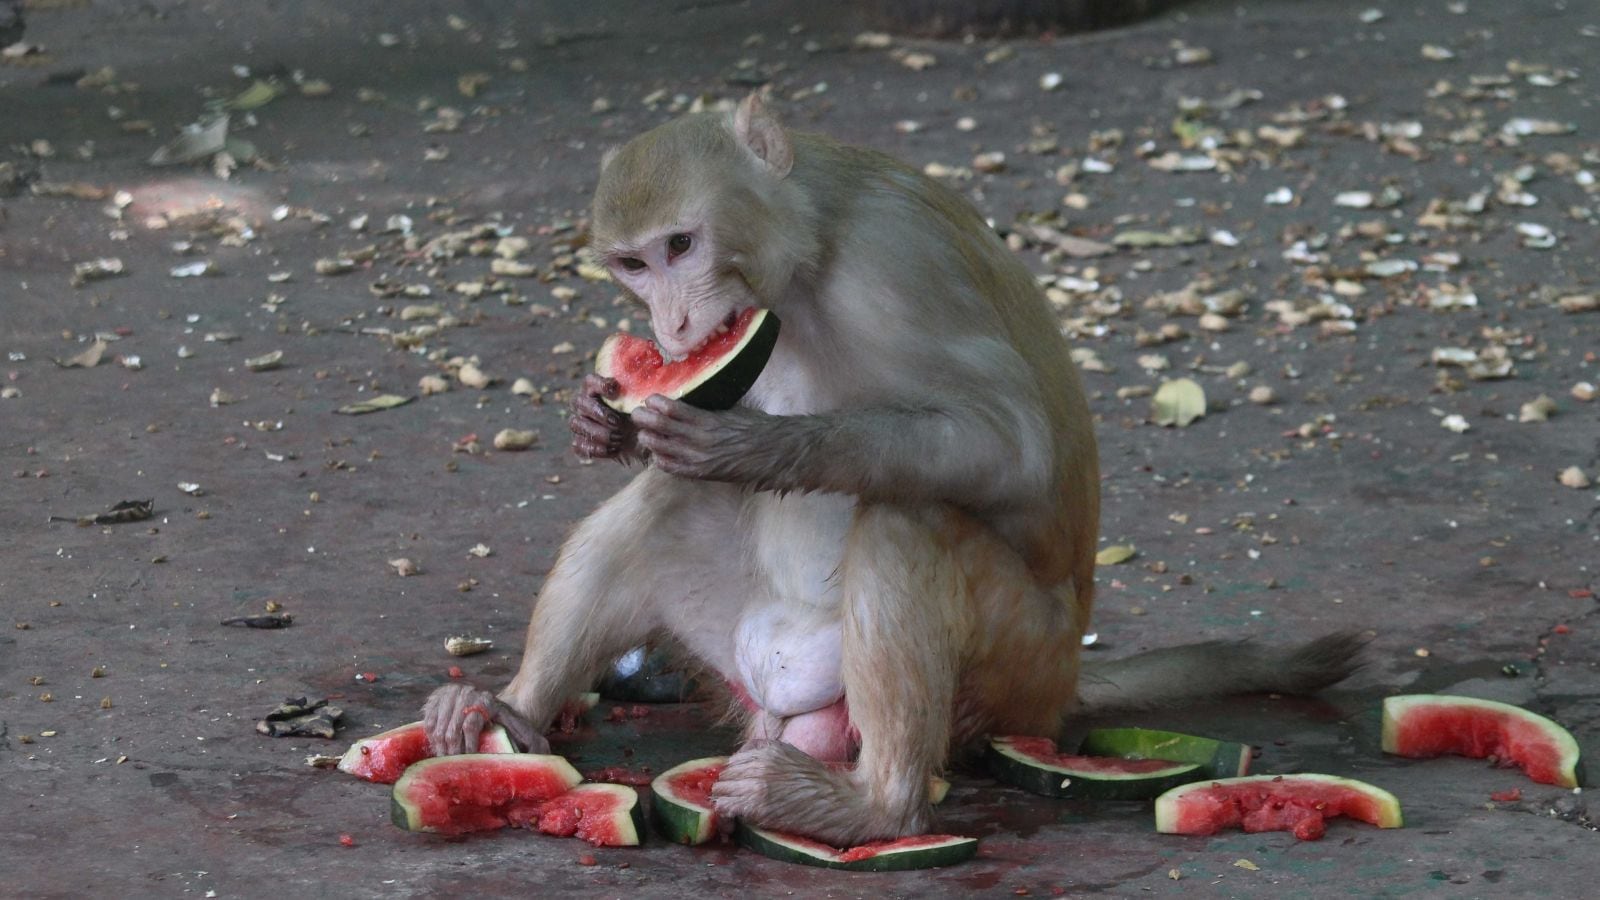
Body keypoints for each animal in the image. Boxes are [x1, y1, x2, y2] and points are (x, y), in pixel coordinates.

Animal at [422, 94, 1363, 846]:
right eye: (632, 264)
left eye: (681, 245)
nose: (674, 328)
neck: (803, 257)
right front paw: (598, 418)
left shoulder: (895, 263)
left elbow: (1014, 444)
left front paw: (758, 447)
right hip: (742, 645)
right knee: (666, 507)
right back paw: (511, 710)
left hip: (1016, 666)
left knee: (910, 517)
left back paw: (877, 806)